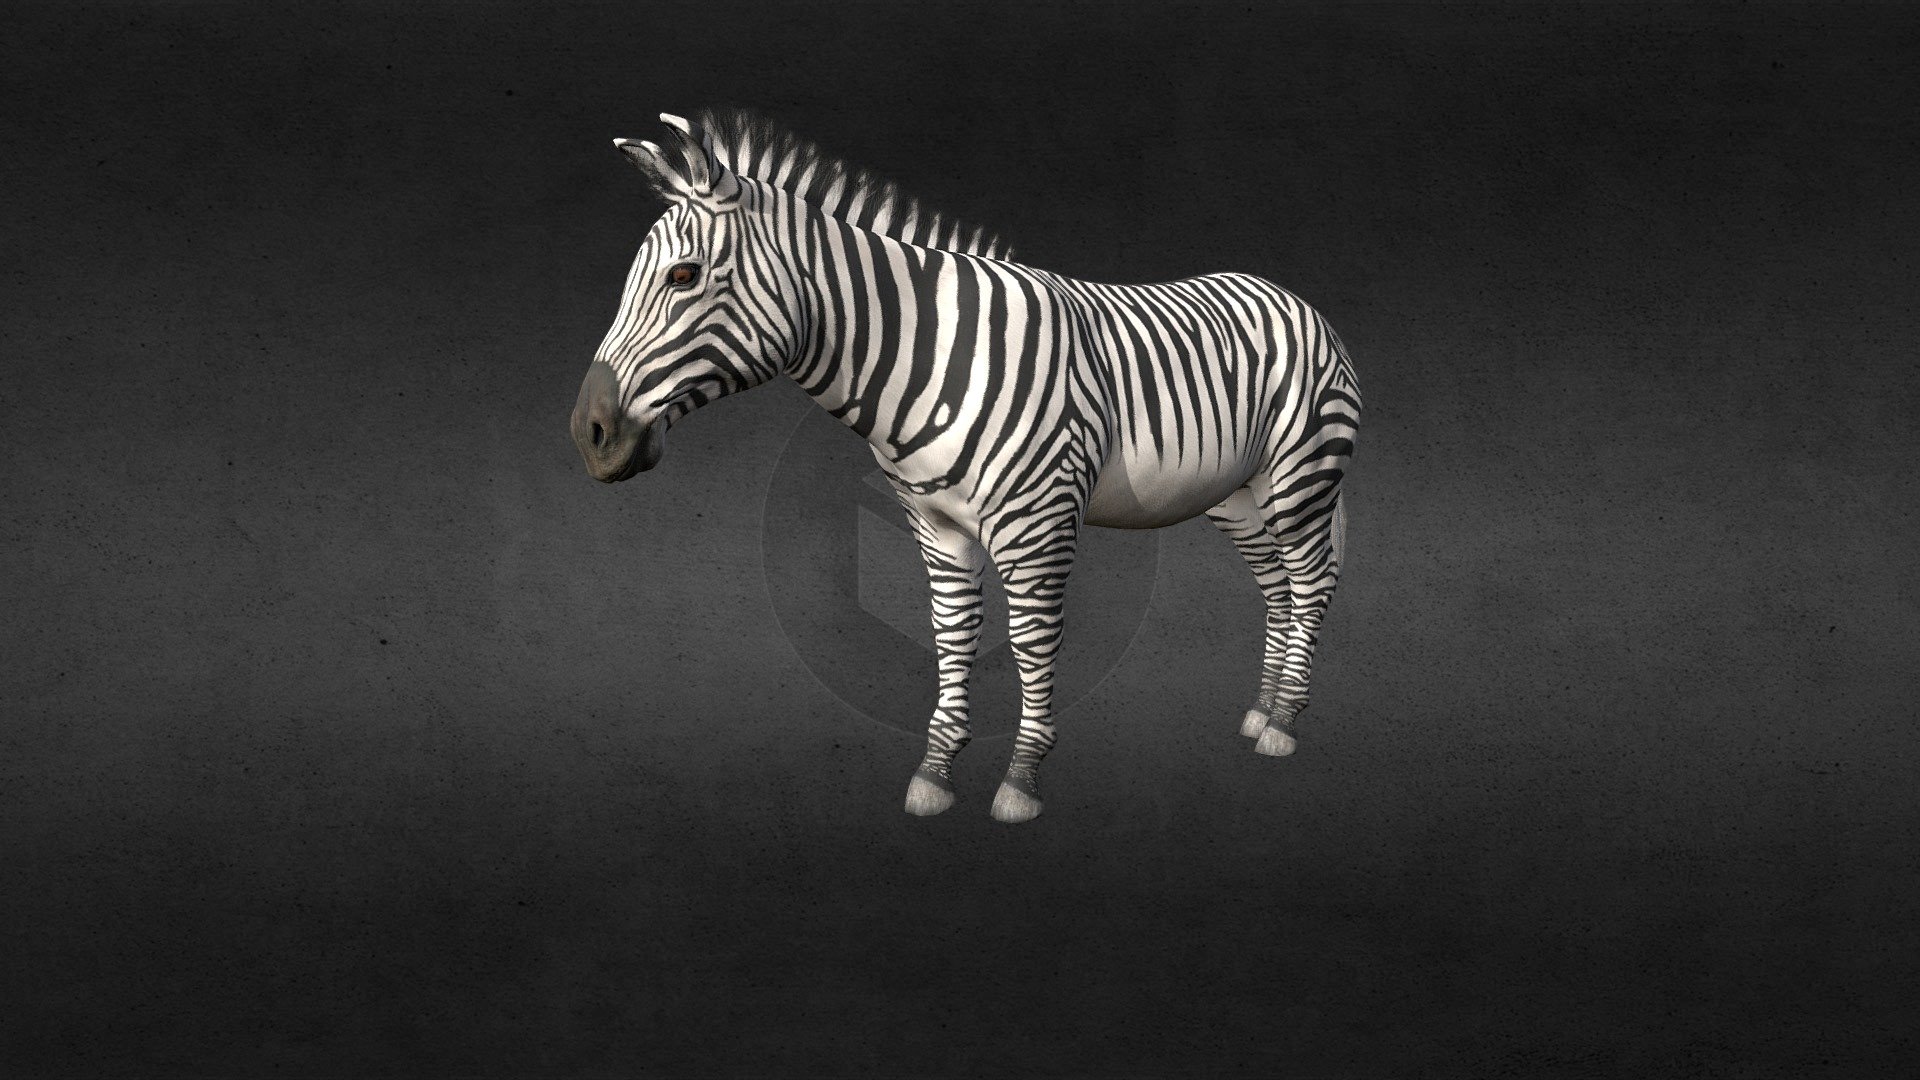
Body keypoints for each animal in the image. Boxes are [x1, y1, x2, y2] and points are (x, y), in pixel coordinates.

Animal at [571, 109, 1360, 823]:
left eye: (683, 275)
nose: (588, 433)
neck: (927, 361)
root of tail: (1293, 298)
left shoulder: (1037, 525)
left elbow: (1030, 640)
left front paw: (1020, 780)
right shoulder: (937, 526)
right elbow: (952, 635)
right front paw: (935, 772)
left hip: (1300, 476)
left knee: (1311, 583)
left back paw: (1284, 723)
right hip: (1238, 496)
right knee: (1278, 590)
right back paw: (1259, 713)